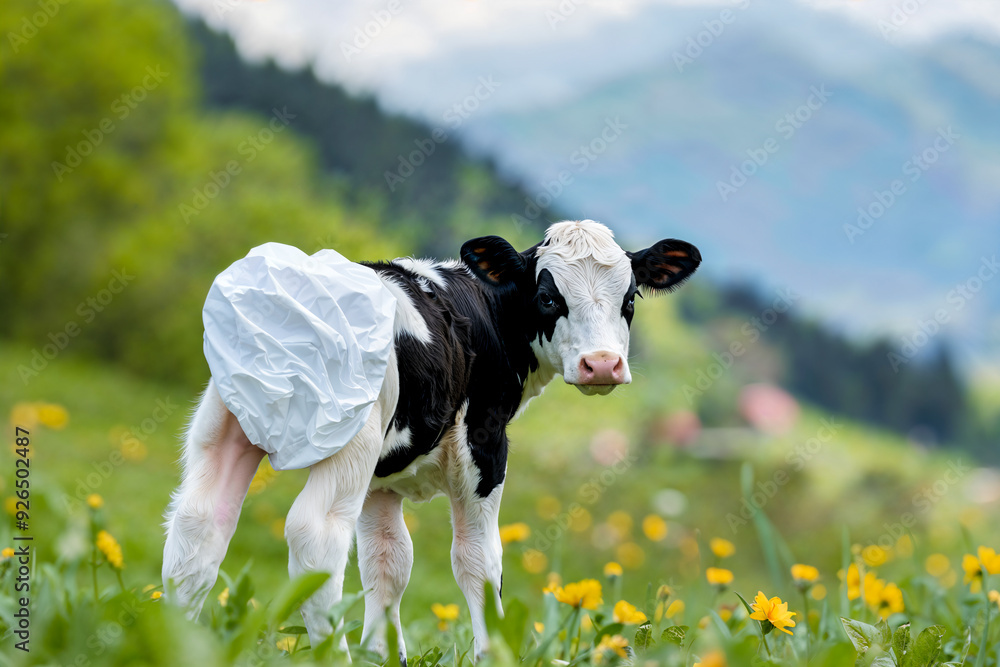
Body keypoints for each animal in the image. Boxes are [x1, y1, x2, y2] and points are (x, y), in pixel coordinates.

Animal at [161, 219, 700, 663]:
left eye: (629, 300)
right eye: (549, 298)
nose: (602, 364)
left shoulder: (381, 482)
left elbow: (388, 562)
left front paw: (382, 654)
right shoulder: (483, 451)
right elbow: (478, 560)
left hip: (223, 426)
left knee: (198, 524)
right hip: (350, 439)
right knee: (316, 537)